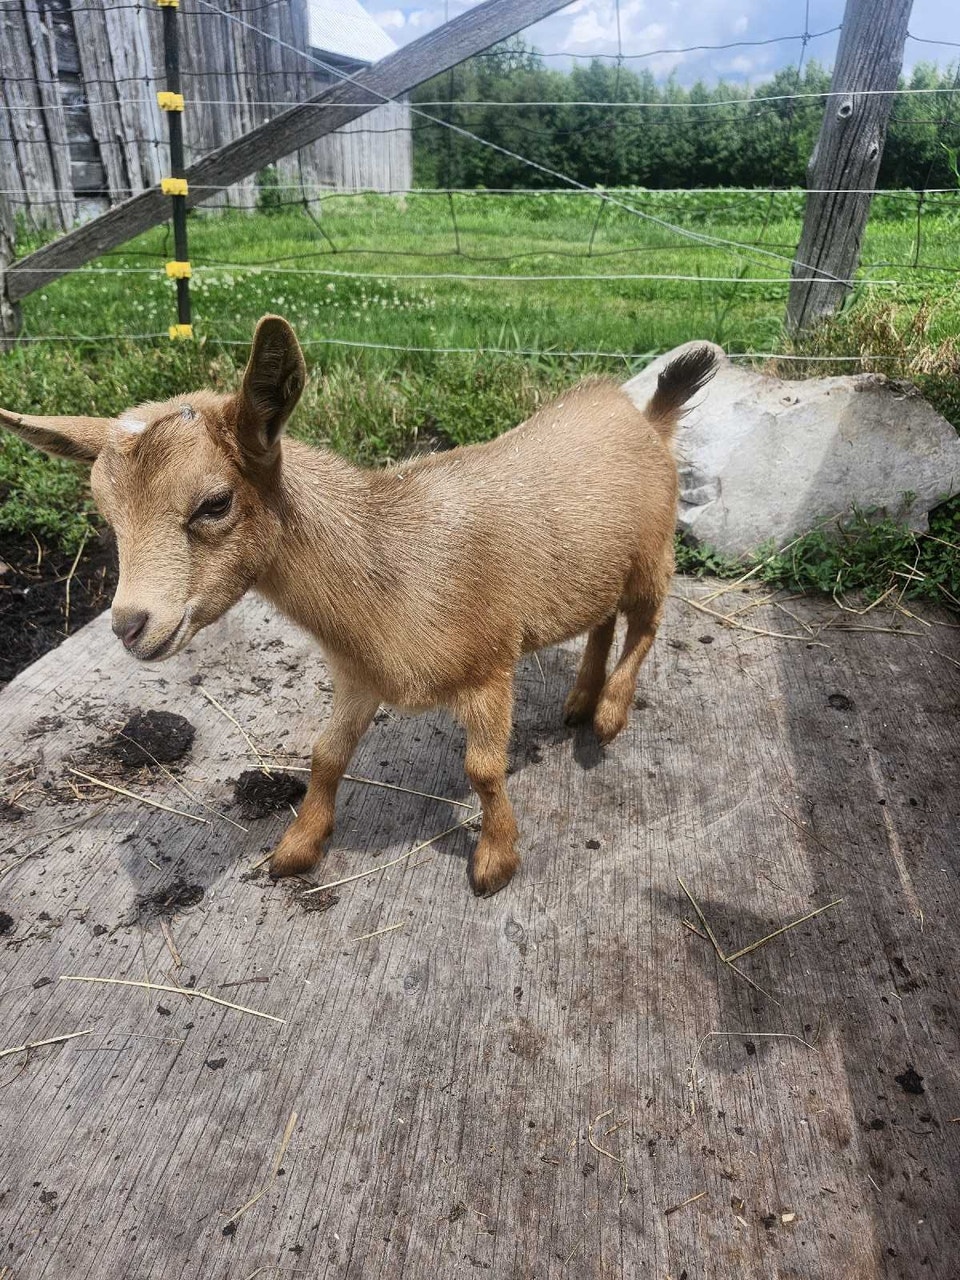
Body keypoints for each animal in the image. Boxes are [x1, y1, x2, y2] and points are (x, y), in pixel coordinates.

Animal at [0, 317, 715, 894]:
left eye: (214, 503)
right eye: (107, 514)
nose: (129, 626)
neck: (390, 570)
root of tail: (645, 417)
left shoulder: (488, 668)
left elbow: (484, 769)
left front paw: (496, 861)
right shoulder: (359, 675)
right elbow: (326, 753)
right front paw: (296, 849)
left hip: (654, 551)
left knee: (647, 621)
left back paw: (609, 715)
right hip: (600, 567)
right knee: (602, 620)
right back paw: (579, 700)